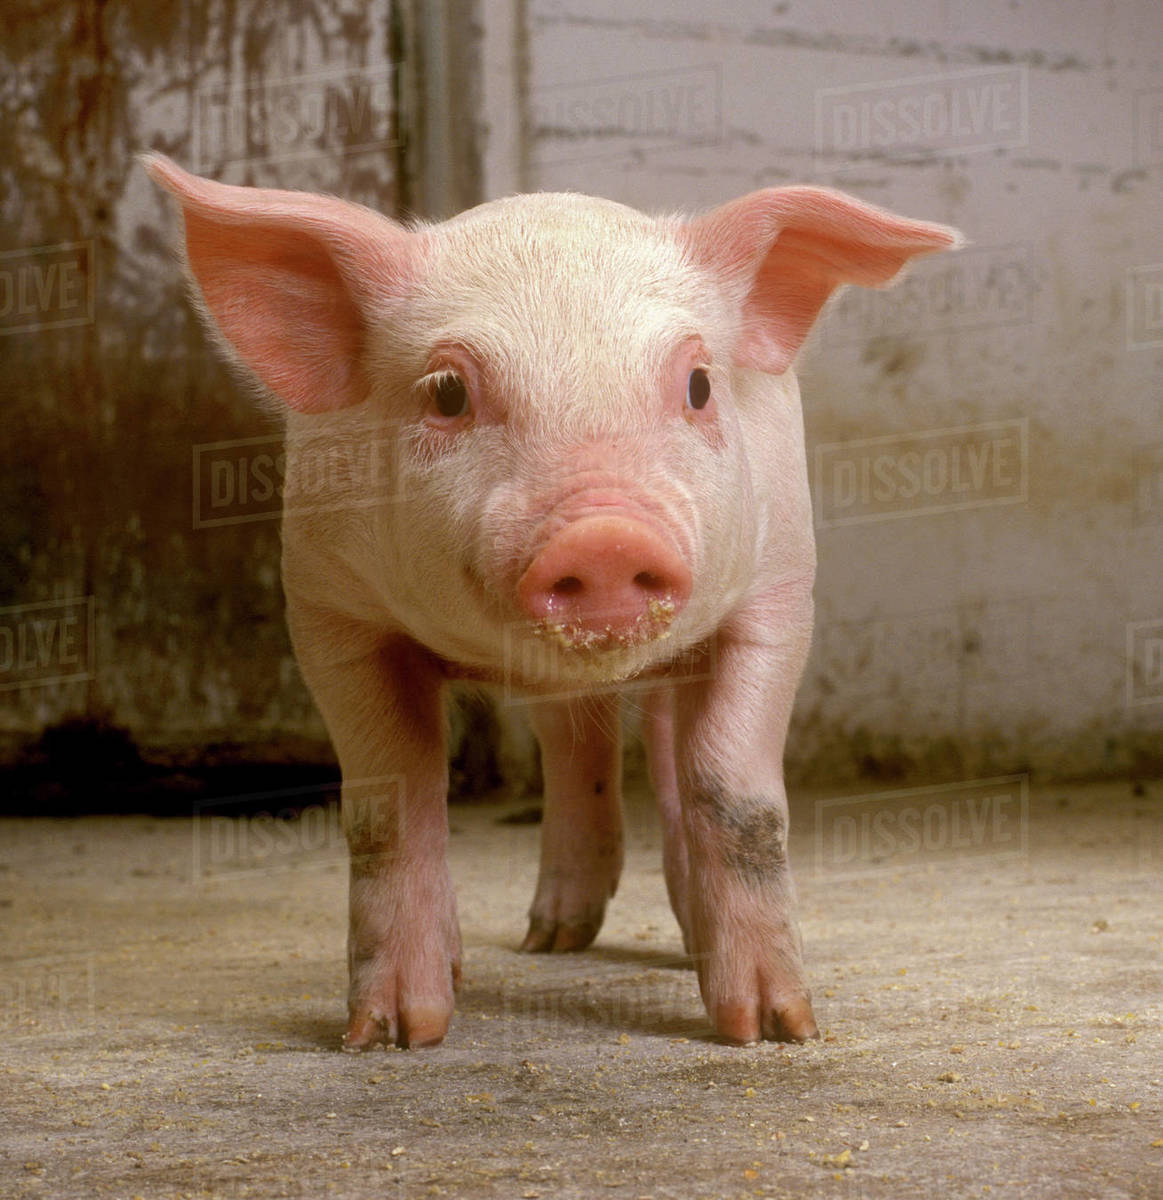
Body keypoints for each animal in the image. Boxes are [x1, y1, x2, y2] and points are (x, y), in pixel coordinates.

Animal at [146, 154, 961, 1048]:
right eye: (447, 393)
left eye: (699, 385)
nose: (603, 537)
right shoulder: (329, 609)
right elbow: (387, 808)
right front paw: (393, 1034)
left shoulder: (779, 590)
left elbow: (734, 795)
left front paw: (774, 1030)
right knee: (573, 745)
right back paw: (547, 939)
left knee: (659, 751)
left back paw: (671, 944)